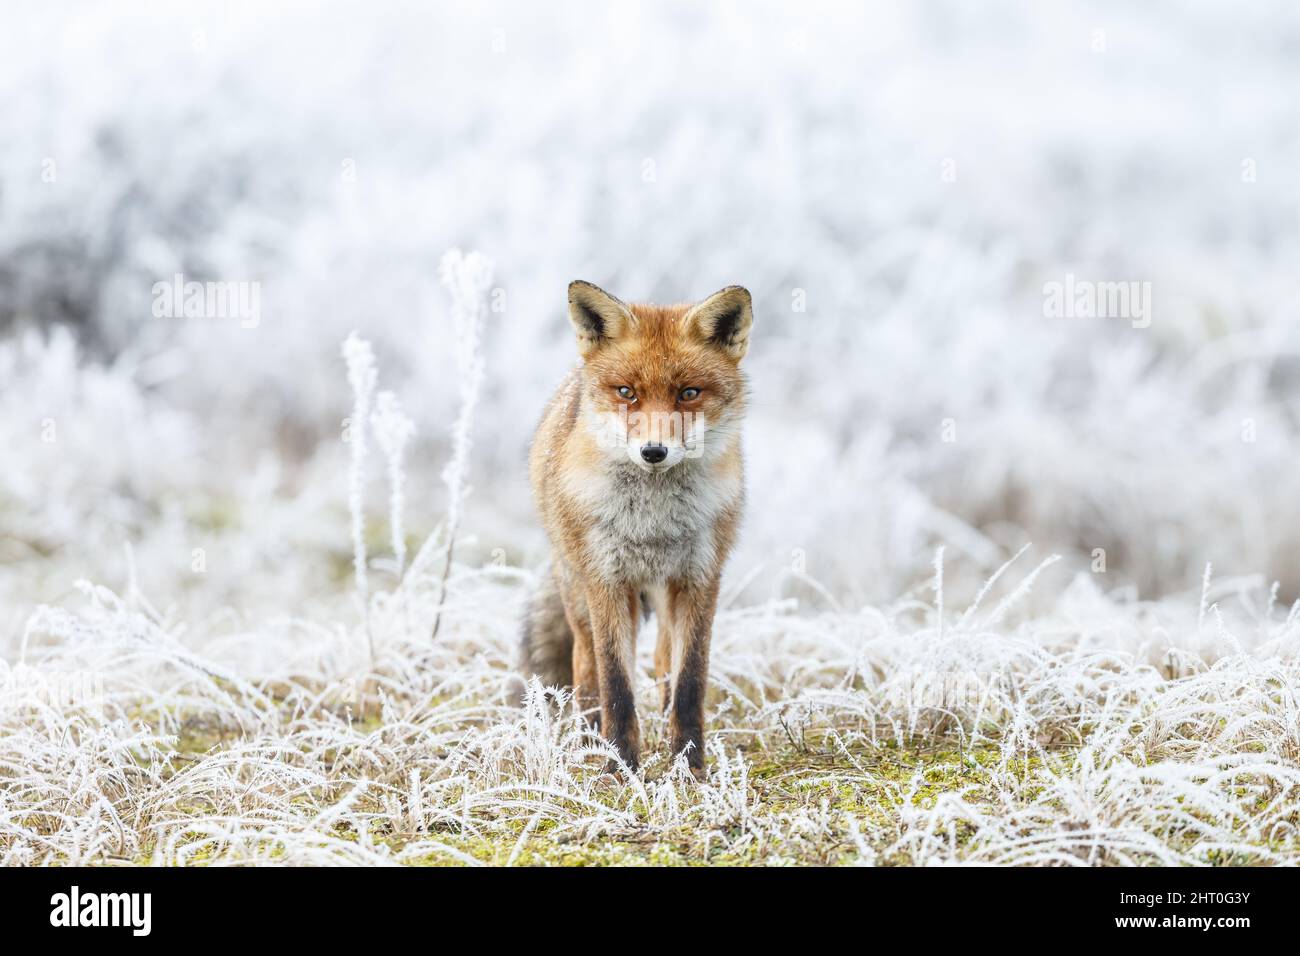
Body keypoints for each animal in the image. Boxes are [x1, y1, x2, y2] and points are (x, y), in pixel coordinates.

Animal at [520, 280, 753, 777]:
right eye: (627, 391)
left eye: (688, 392)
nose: (653, 451)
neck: (652, 524)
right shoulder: (608, 581)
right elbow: (616, 683)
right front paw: (620, 767)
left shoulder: (700, 579)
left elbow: (690, 681)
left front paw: (688, 766)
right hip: (579, 595)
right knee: (585, 670)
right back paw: (590, 742)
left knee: (664, 660)